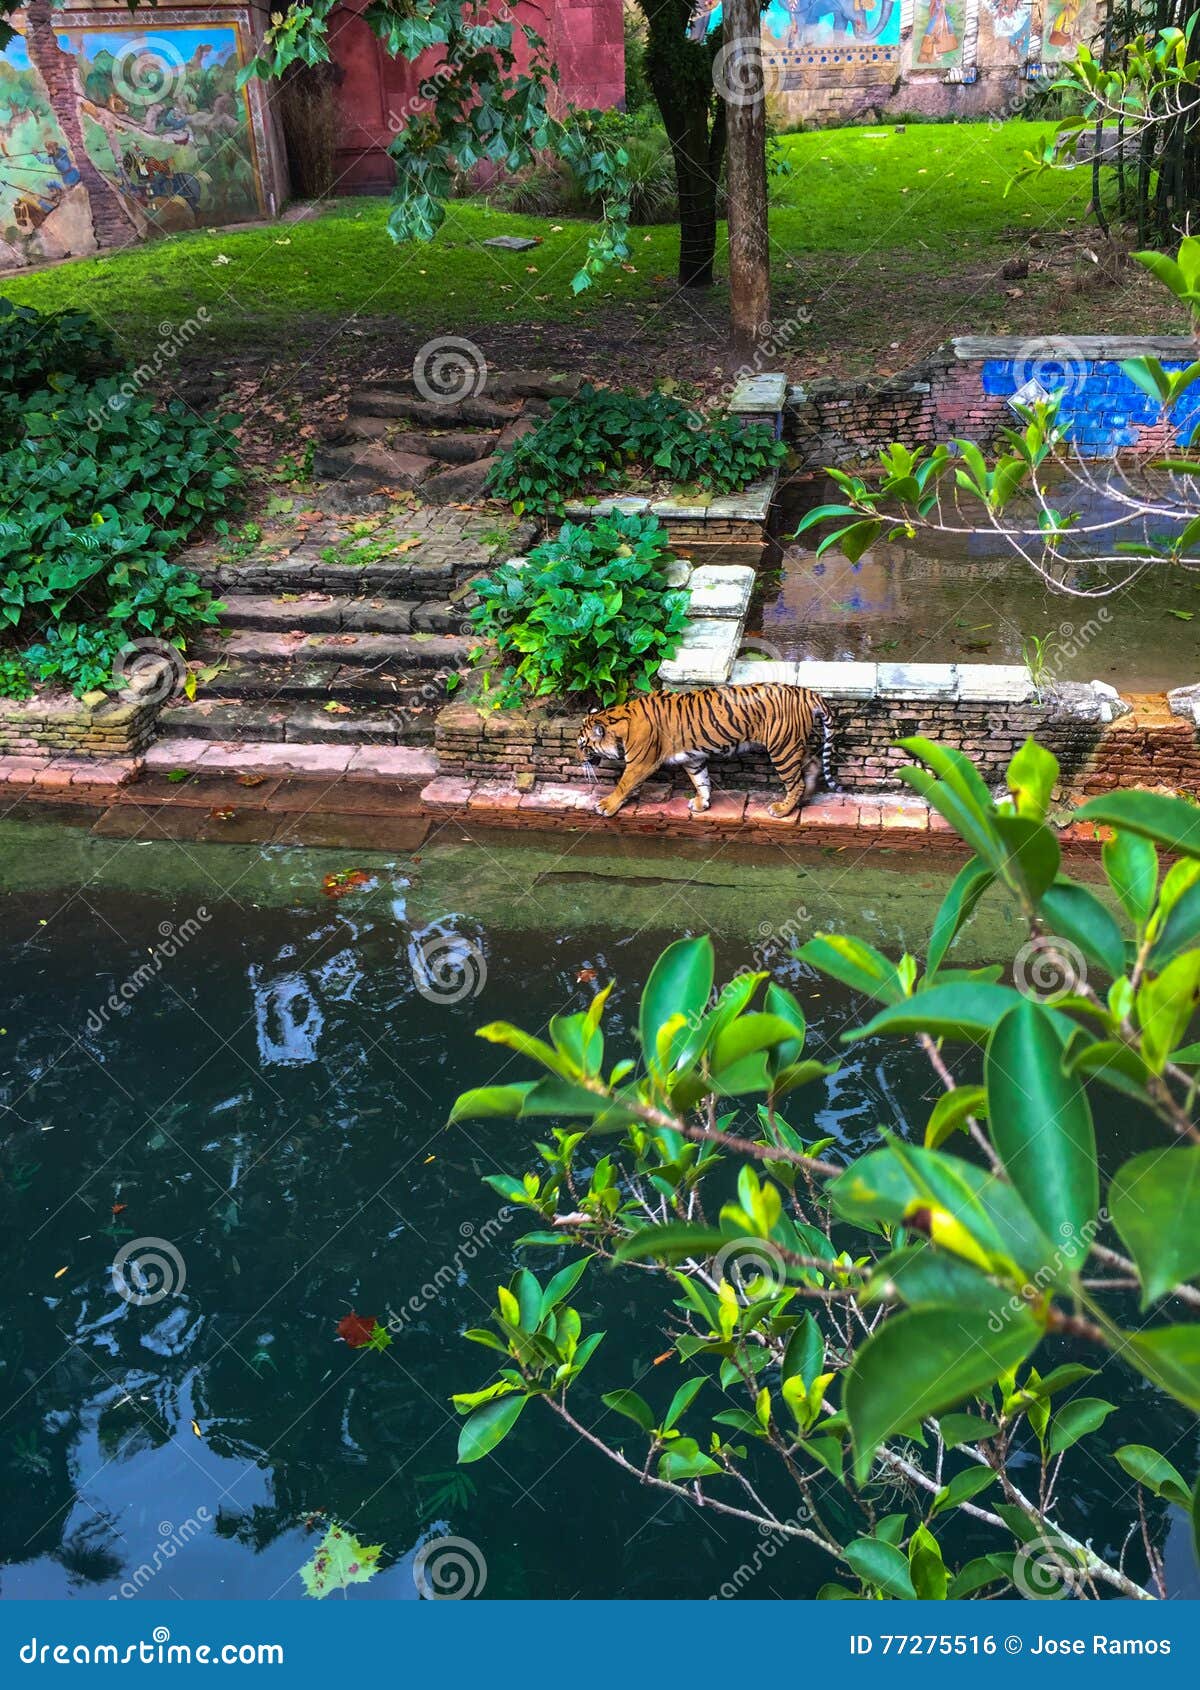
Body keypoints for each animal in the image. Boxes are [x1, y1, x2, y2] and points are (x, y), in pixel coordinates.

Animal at [578, 684, 835, 819]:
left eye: (582, 745)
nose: (576, 758)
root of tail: (805, 691)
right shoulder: (693, 758)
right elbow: (701, 780)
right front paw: (702, 803)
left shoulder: (640, 763)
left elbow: (623, 784)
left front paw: (606, 805)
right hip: (792, 744)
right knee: (812, 766)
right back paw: (806, 798)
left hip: (782, 748)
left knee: (795, 781)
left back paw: (782, 809)